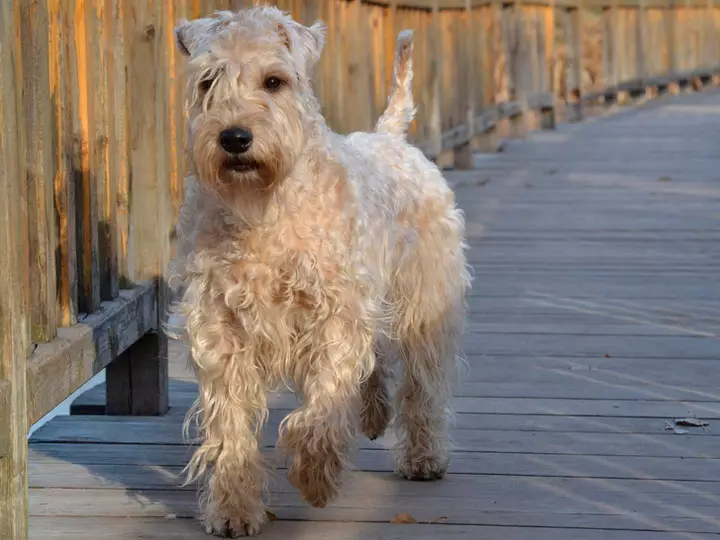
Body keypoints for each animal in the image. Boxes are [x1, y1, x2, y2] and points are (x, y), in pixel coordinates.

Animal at [169, 5, 472, 536]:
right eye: (208, 80)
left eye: (274, 81)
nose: (234, 138)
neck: (265, 211)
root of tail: (391, 137)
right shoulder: (220, 325)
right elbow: (230, 424)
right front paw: (233, 508)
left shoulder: (336, 311)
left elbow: (326, 402)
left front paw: (314, 476)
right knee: (378, 366)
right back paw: (373, 418)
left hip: (424, 301)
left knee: (422, 385)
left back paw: (423, 458)